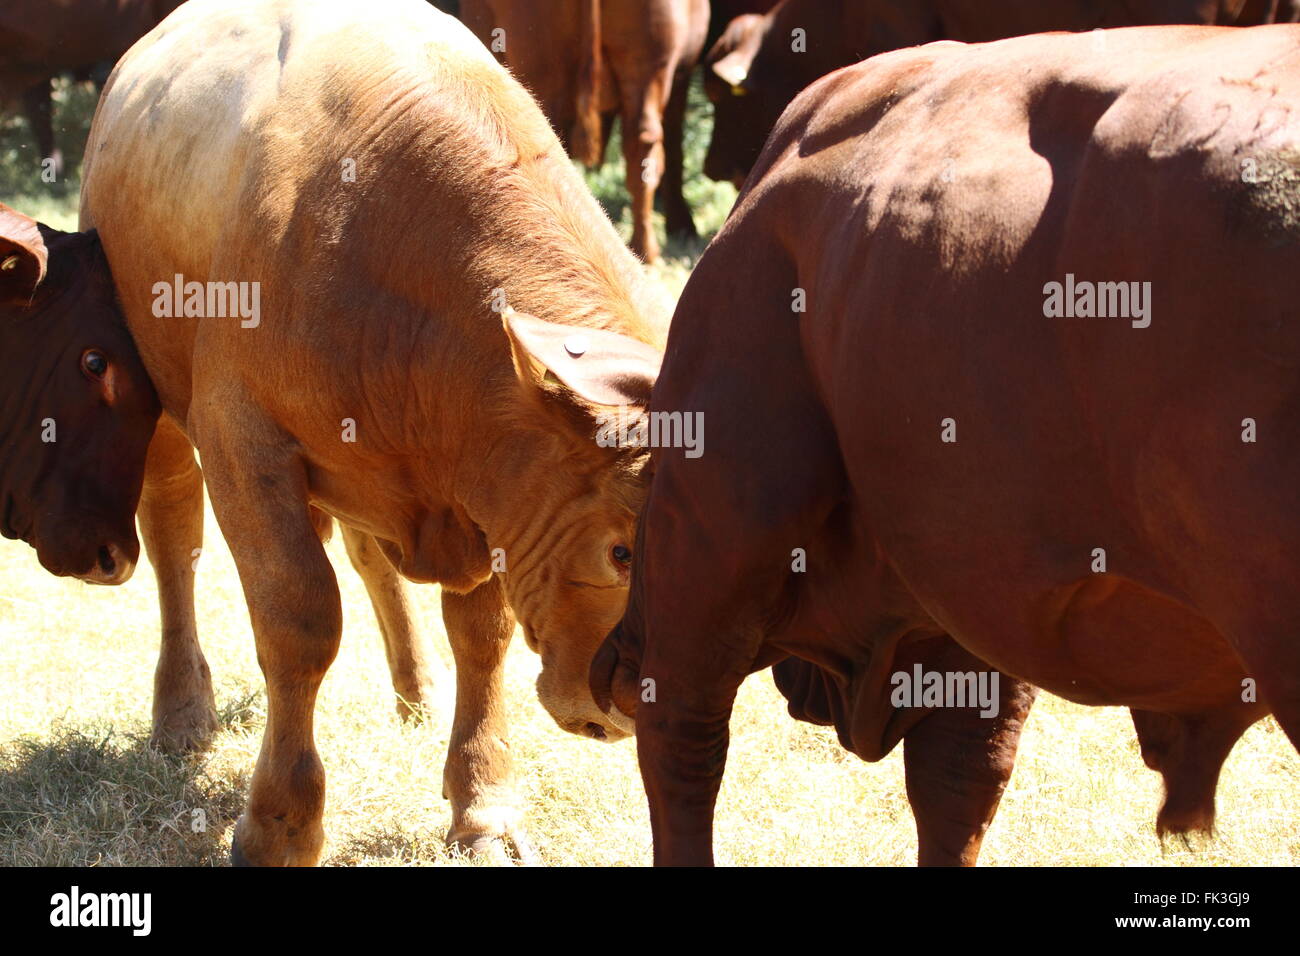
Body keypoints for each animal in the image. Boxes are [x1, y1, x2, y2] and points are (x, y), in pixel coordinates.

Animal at [80, 0, 674, 865]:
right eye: (620, 551)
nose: (631, 706)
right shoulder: (241, 438)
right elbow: (299, 621)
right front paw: (280, 825)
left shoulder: (487, 488)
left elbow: (481, 634)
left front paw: (482, 804)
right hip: (152, 395)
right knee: (173, 540)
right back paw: (183, 713)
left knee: (368, 556)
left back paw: (416, 689)